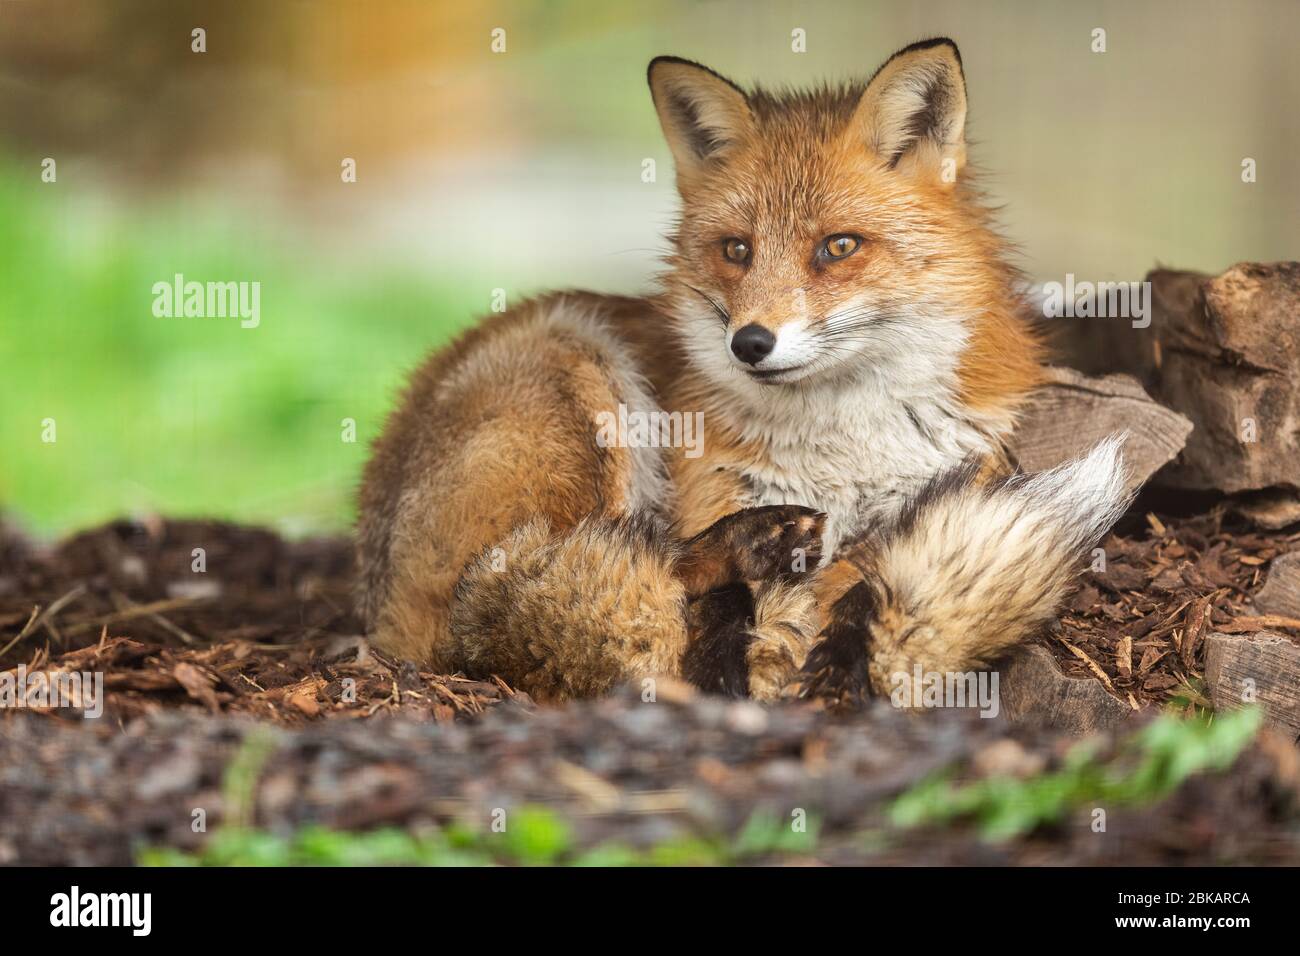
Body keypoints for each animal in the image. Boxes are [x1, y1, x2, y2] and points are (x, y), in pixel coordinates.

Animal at [355, 38, 1132, 703]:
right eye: (737, 250)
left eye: (837, 246)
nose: (750, 343)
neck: (843, 453)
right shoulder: (716, 493)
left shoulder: (961, 474)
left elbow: (862, 576)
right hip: (583, 385)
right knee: (539, 594)